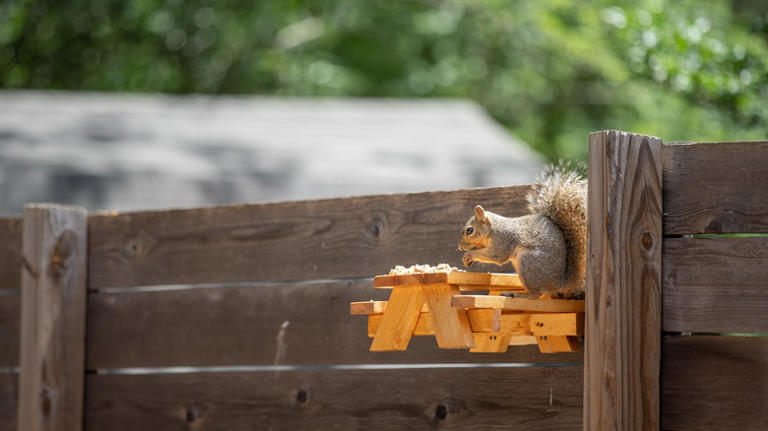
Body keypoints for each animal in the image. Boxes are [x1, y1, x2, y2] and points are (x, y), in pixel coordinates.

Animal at [458, 165, 587, 298]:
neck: (493, 229)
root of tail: (559, 283)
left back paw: (519, 294)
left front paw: (469, 255)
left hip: (529, 262)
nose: (460, 247)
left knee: (536, 293)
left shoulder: (503, 240)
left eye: (469, 230)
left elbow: (496, 255)